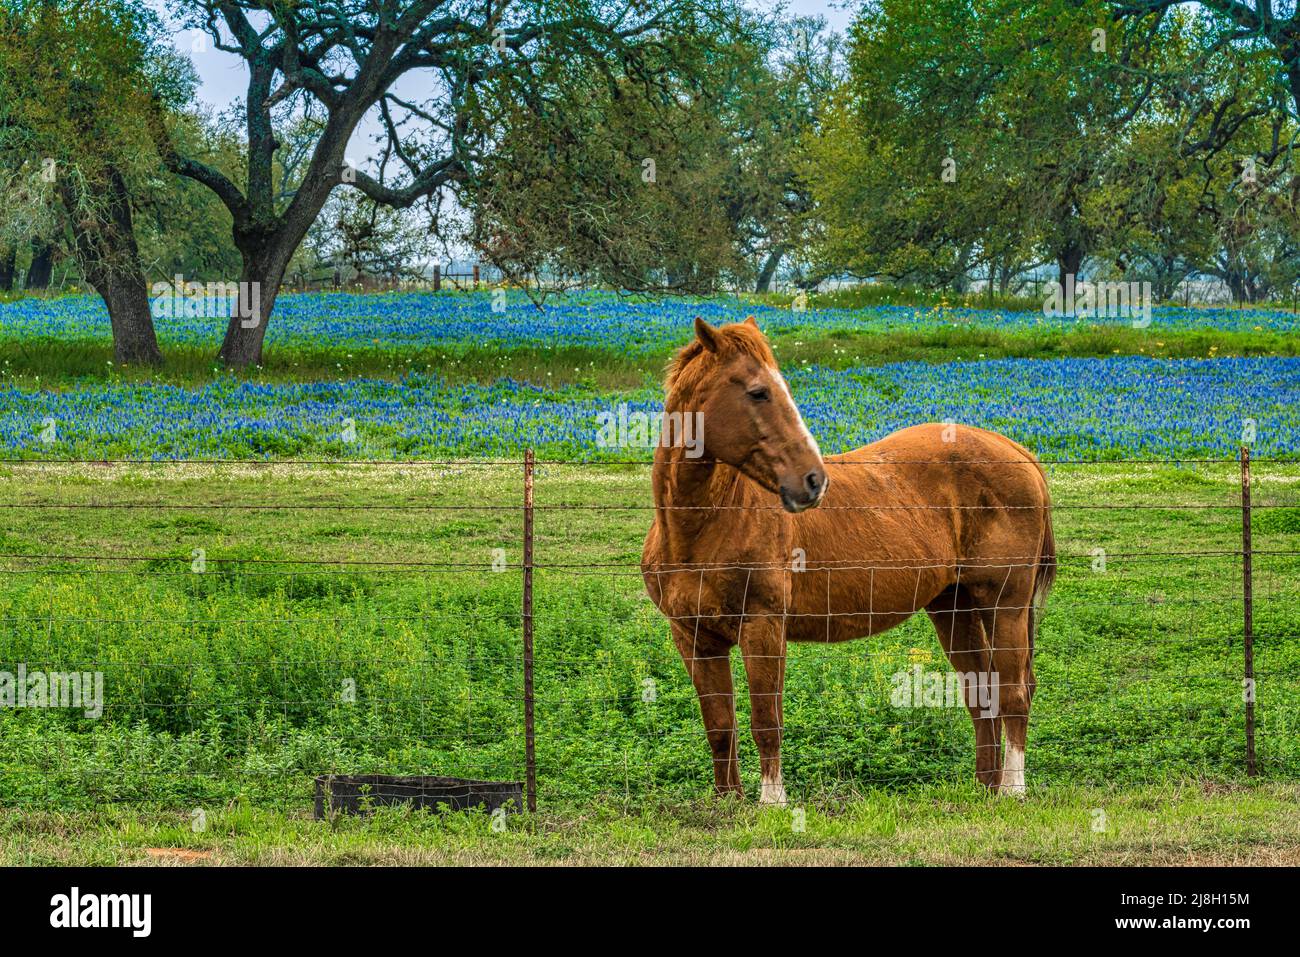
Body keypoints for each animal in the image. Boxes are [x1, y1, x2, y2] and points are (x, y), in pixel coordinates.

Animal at [641, 316, 1055, 800]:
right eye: (759, 392)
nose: (813, 480)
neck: (704, 526)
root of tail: (1019, 454)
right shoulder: (694, 639)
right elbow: (721, 727)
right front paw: (729, 802)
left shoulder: (763, 628)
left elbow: (766, 722)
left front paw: (772, 801)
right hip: (955, 607)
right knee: (981, 693)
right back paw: (983, 788)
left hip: (1005, 605)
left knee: (1014, 694)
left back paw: (1011, 789)